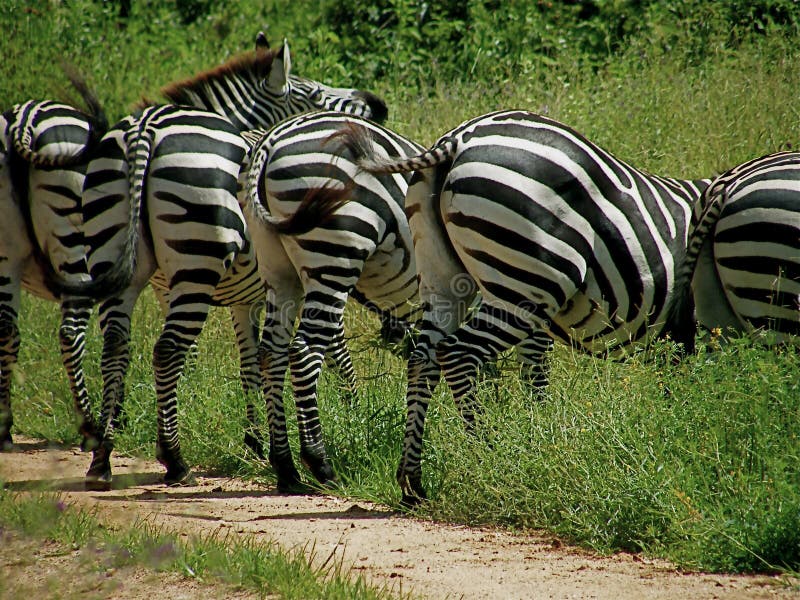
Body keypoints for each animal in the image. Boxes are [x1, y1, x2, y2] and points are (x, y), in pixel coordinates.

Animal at [0, 82, 108, 451]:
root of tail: (24, 119)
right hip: (73, 244)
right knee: (70, 334)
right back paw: (90, 428)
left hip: (6, 254)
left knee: (7, 331)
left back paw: (4, 429)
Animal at [78, 33, 388, 489]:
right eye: (313, 93)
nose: (378, 105)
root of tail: (146, 128)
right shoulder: (307, 277)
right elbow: (333, 352)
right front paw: (356, 417)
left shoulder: (218, 295)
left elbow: (249, 364)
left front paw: (256, 441)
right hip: (197, 263)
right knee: (166, 349)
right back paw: (175, 460)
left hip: (119, 257)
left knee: (118, 345)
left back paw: (103, 456)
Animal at [346, 109, 710, 506]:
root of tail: (459, 137)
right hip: (527, 282)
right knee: (458, 353)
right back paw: (491, 458)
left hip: (448, 277)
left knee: (422, 358)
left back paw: (413, 479)